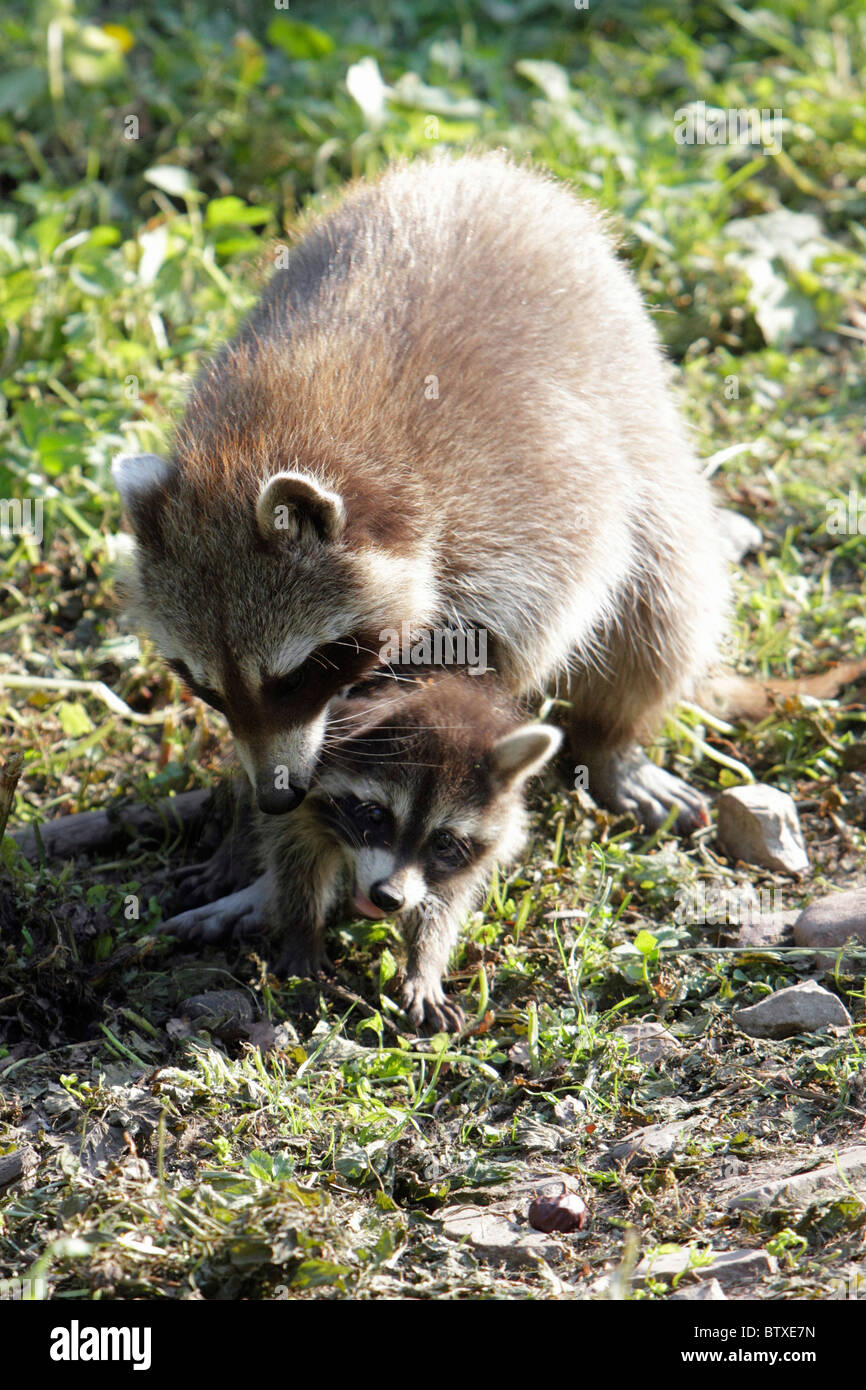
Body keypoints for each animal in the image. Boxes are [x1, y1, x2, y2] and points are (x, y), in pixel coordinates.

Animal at [113, 151, 727, 832]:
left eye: (293, 678)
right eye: (206, 688)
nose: (277, 795)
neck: (266, 438)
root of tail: (484, 166)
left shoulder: (518, 496)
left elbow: (531, 626)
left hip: (637, 415)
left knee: (663, 608)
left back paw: (611, 739)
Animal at [165, 672, 562, 1032]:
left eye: (444, 841)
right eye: (375, 816)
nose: (388, 897)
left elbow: (444, 902)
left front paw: (426, 963)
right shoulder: (295, 797)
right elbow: (296, 863)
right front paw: (303, 929)